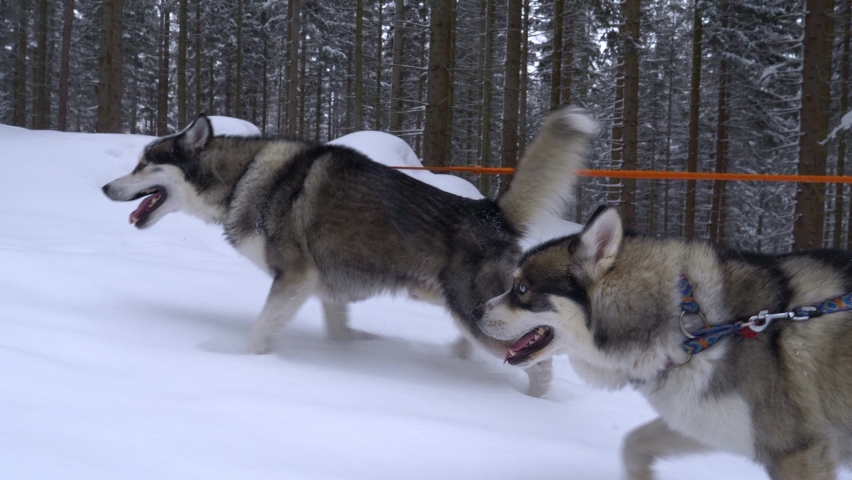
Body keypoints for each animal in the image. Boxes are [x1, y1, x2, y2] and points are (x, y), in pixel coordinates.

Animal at [101, 108, 596, 397]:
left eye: (144, 163)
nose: (106, 188)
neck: (244, 176)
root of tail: (489, 211)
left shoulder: (293, 278)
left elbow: (260, 331)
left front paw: (238, 359)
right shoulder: (322, 286)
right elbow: (338, 330)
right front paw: (355, 347)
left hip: (484, 321)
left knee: (540, 362)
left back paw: (533, 399)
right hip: (462, 308)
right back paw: (456, 359)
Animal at [478, 205, 852, 478]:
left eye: (521, 288)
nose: (476, 311)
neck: (696, 327)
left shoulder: (797, 451)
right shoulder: (705, 420)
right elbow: (633, 443)